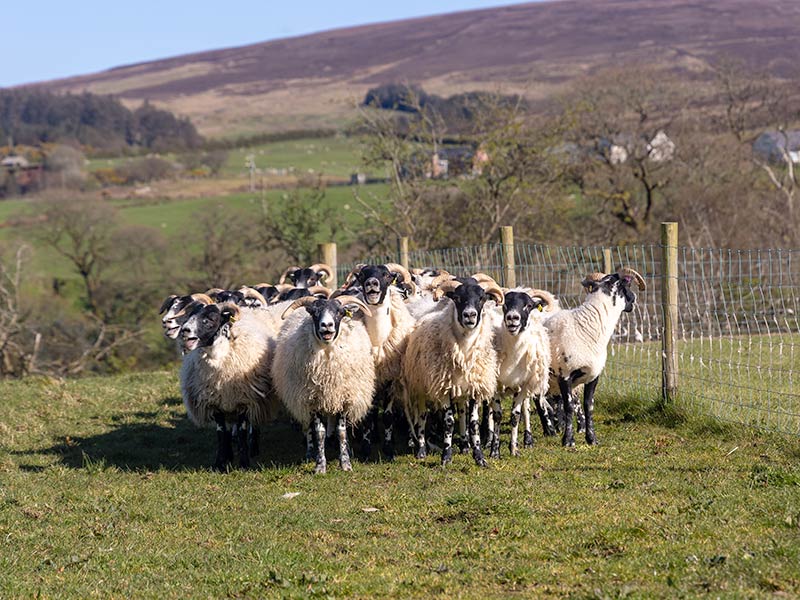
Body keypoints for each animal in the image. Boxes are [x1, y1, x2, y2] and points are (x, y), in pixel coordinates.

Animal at [179, 302, 280, 470]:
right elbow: (221, 434)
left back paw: (253, 449)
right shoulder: (215, 403)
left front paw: (244, 463)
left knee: (254, 423)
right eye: (189, 316)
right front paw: (220, 463)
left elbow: (241, 432)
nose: (185, 330)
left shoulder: (245, 401)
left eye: (210, 319)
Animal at [271, 295, 376, 474]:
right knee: (308, 429)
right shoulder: (313, 400)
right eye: (314, 312)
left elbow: (341, 432)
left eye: (340, 312)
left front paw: (345, 462)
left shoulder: (343, 397)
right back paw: (310, 452)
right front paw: (320, 465)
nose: (327, 325)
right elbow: (319, 433)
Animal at [402, 279, 504, 467]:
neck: (464, 351)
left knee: (462, 413)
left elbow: (473, 424)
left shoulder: (474, 388)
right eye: (457, 298)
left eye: (481, 298)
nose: (470, 315)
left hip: (461, 391)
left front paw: (479, 456)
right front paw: (446, 457)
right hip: (420, 387)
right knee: (421, 417)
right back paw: (421, 450)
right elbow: (448, 423)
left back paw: (464, 446)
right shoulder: (444, 388)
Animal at [490, 288, 556, 457]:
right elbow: (497, 415)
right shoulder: (495, 385)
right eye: (505, 304)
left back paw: (527, 440)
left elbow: (515, 415)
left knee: (526, 410)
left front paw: (514, 448)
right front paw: (494, 451)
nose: (512, 318)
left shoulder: (524, 385)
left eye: (529, 305)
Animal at [543, 267, 646, 447]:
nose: (634, 299)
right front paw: (568, 440)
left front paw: (591, 439)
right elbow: (569, 406)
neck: (587, 327)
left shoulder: (593, 376)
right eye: (626, 286)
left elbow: (588, 406)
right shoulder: (565, 375)